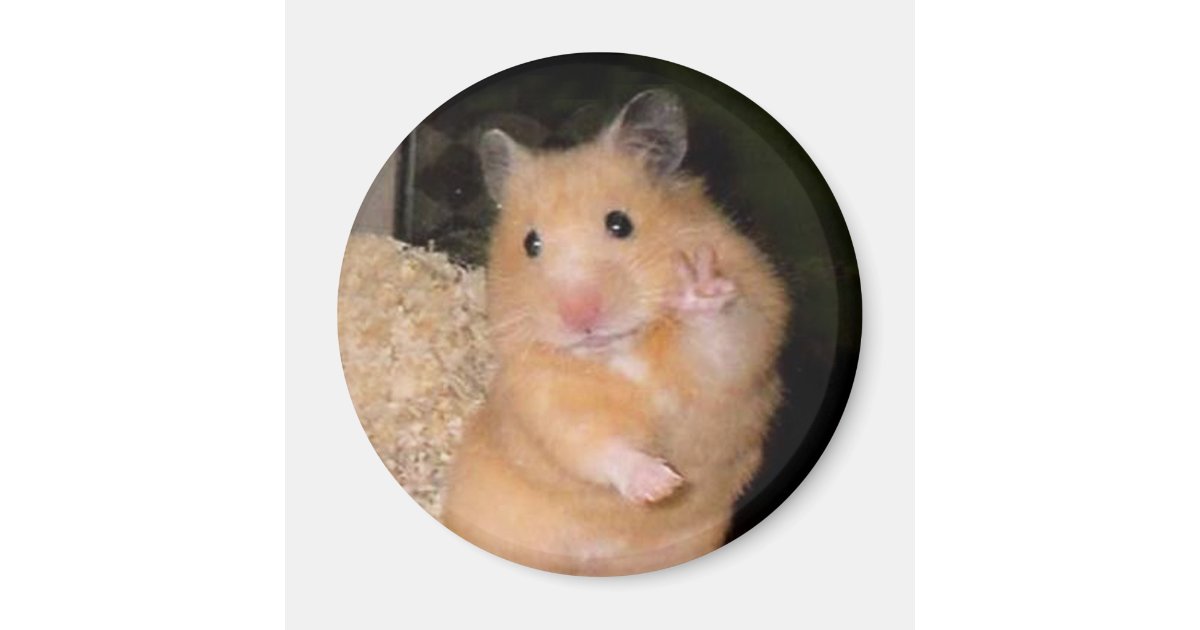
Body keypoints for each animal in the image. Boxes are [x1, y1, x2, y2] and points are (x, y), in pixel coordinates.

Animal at [441, 89, 790, 576]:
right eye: (531, 244)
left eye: (620, 223)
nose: (580, 316)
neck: (622, 352)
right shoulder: (543, 397)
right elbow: (593, 444)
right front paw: (660, 485)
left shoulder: (746, 344)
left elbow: (720, 341)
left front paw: (697, 285)